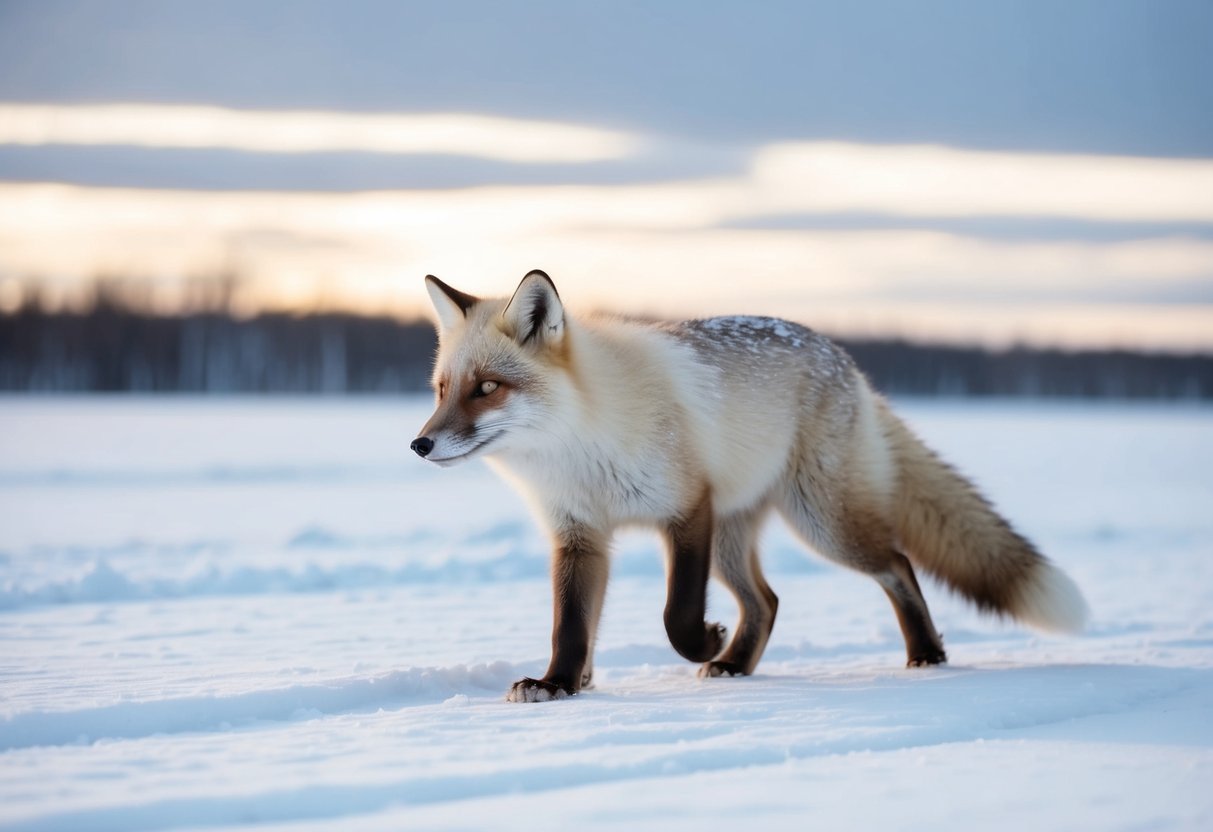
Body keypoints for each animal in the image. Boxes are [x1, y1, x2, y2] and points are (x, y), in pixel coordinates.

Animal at [411, 270, 1088, 702]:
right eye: (443, 389)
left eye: (487, 388)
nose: (420, 445)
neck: (584, 441)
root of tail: (845, 361)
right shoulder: (580, 535)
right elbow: (570, 624)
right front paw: (558, 683)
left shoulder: (687, 510)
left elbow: (676, 613)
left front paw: (701, 640)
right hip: (737, 538)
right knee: (768, 601)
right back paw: (737, 665)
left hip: (820, 525)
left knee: (896, 563)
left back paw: (925, 654)